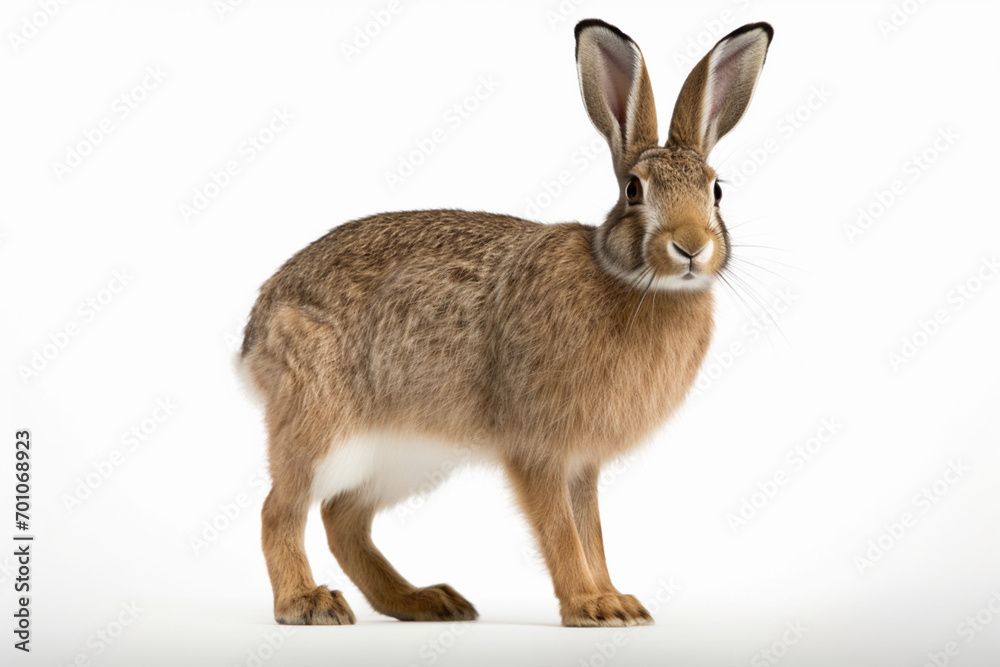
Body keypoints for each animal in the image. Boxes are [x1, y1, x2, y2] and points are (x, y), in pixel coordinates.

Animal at [240, 18, 773, 627]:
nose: (691, 246)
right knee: (280, 509)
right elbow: (560, 531)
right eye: (634, 190)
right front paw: (590, 605)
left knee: (342, 517)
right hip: (320, 423)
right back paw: (307, 602)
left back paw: (425, 600)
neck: (630, 282)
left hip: (405, 456)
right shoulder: (537, 448)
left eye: (717, 190)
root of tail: (257, 329)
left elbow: (591, 531)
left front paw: (617, 600)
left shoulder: (582, 464)